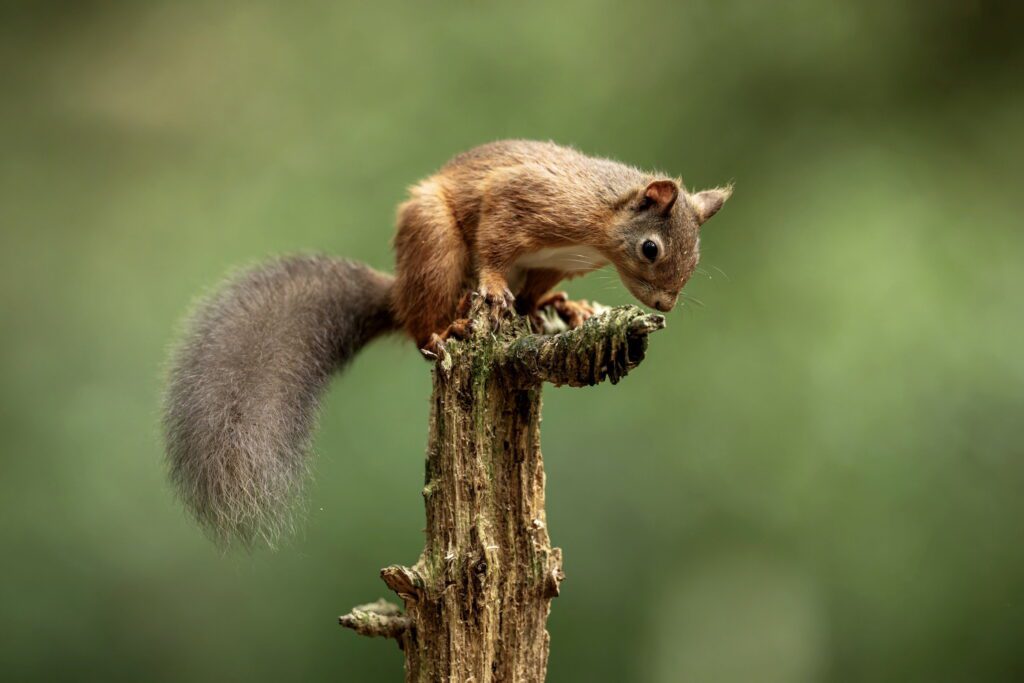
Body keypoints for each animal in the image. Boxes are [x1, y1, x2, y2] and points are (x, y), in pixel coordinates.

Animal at [163, 140, 732, 546]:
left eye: (697, 257)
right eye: (651, 248)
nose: (665, 305)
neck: (599, 222)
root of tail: (399, 294)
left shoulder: (552, 261)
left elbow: (535, 289)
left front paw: (557, 304)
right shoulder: (522, 201)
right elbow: (496, 244)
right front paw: (497, 289)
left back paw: (560, 308)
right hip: (434, 244)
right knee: (423, 325)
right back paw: (448, 326)